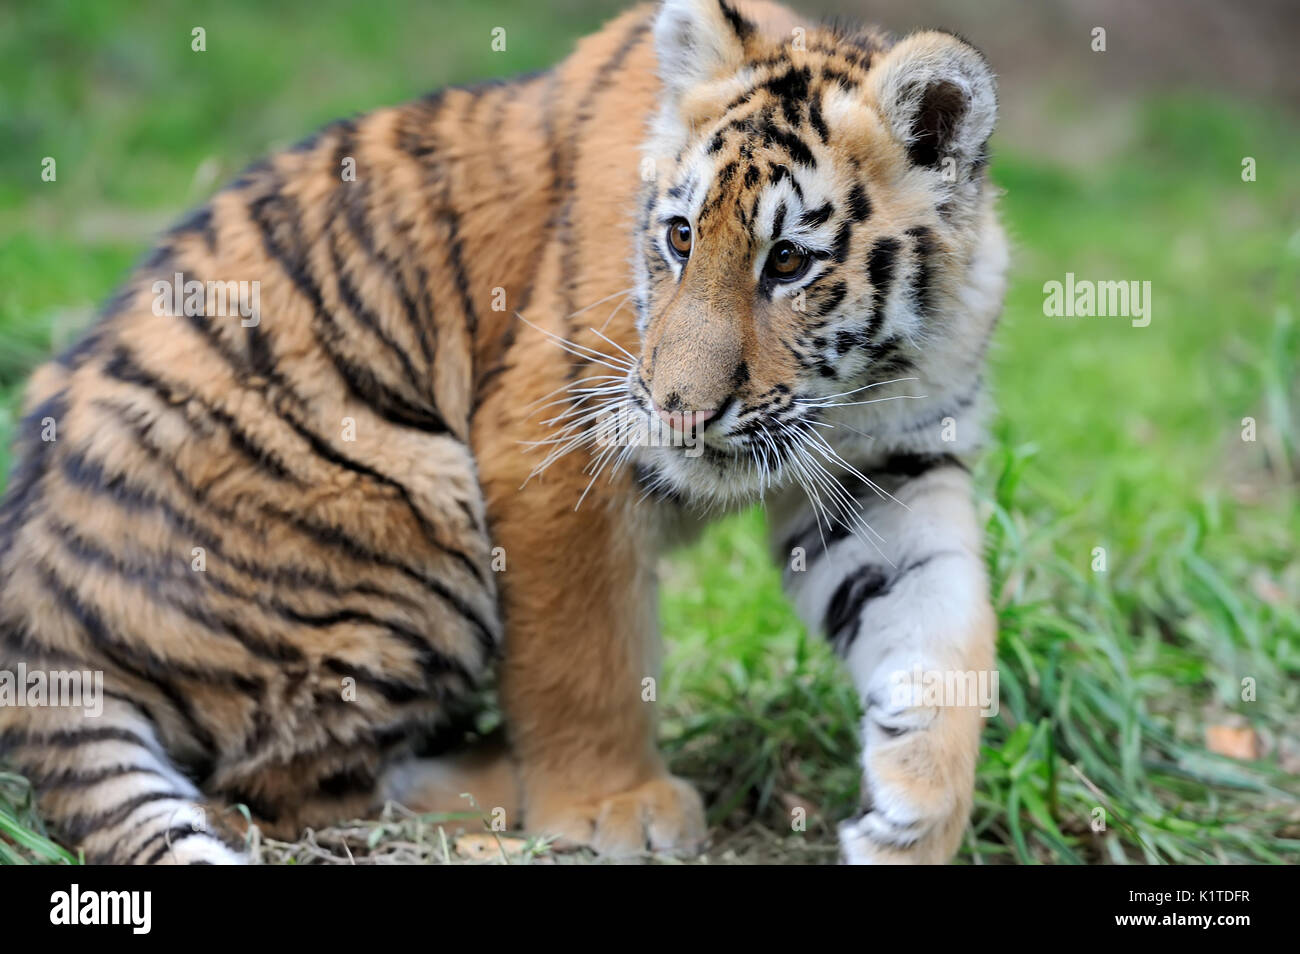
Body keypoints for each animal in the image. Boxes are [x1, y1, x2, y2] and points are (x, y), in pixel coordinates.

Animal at [0, 0, 1005, 865]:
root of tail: (39, 643)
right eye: (681, 238)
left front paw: (918, 819)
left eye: (789, 262)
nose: (677, 408)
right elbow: (583, 652)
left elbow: (942, 630)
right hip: (412, 514)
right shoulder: (555, 440)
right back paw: (499, 793)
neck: (858, 389)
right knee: (284, 785)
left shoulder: (893, 466)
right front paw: (613, 806)